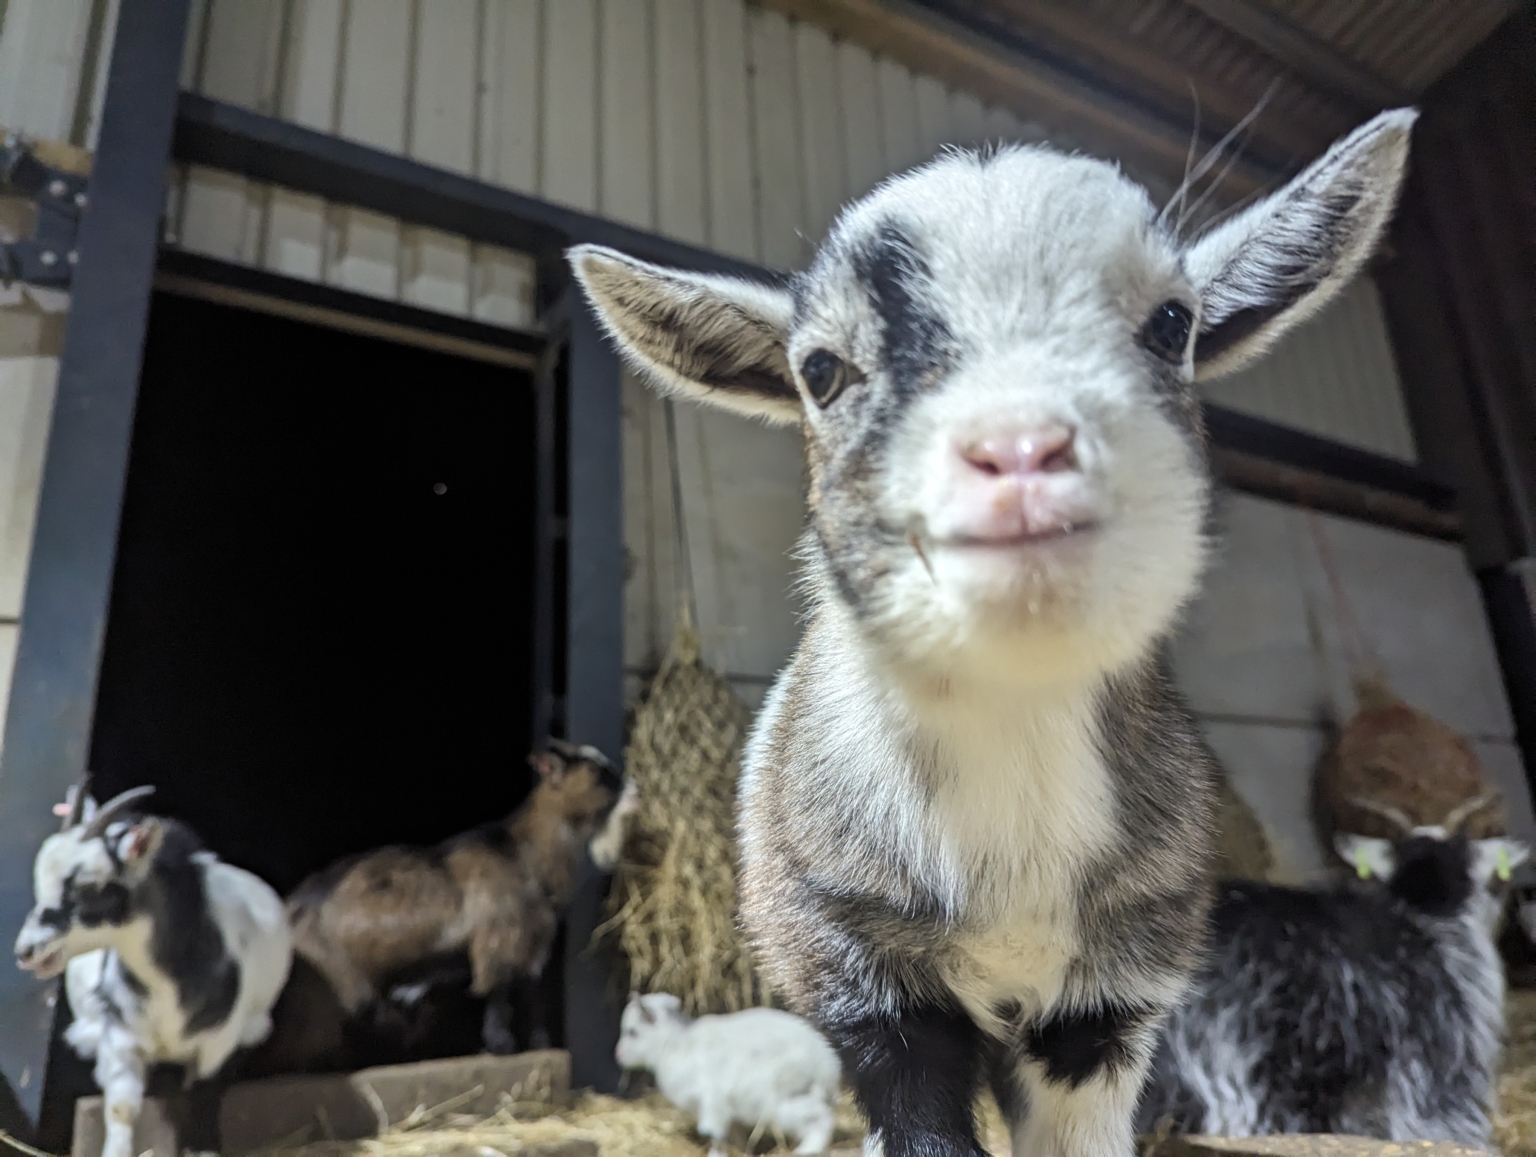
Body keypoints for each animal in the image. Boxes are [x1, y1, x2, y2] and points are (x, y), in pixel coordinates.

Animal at [15, 783, 291, 1157]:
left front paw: (202, 1148)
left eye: (88, 887)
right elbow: (121, 1108)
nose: (26, 951)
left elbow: (203, 1097)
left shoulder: (219, 1043)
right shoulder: (120, 1038)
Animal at [288, 739, 636, 1056]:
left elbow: (530, 992)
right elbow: (498, 993)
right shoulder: (498, 936)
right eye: (594, 770)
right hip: (333, 983)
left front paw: (539, 1043)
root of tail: (295, 902)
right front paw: (500, 1046)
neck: (522, 852)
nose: (632, 789)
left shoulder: (532, 940)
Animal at [616, 993, 841, 1157]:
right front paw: (741, 1150)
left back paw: (808, 1149)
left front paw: (716, 1154)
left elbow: (715, 1135)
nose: (618, 1055)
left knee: (822, 1119)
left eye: (632, 1032)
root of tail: (828, 1067)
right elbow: (733, 1135)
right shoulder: (727, 1110)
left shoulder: (712, 1103)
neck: (674, 1045)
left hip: (788, 1100)